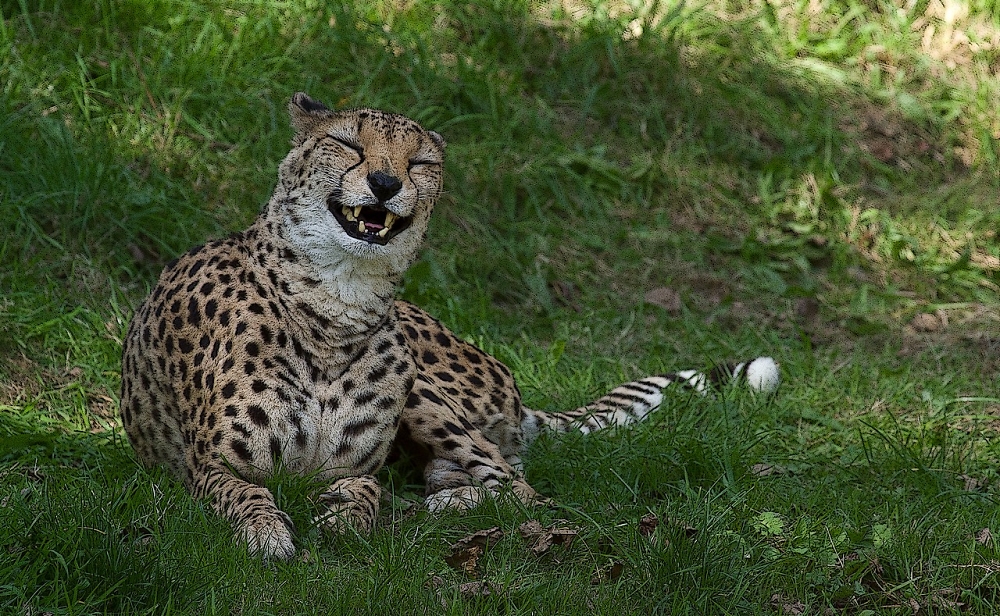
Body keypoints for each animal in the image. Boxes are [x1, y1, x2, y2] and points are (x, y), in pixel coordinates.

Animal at [120, 92, 780, 560]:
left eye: (419, 162)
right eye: (347, 144)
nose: (385, 183)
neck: (337, 302)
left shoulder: (353, 468)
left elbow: (365, 491)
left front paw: (347, 519)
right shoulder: (205, 467)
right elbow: (245, 491)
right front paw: (266, 531)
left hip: (428, 394)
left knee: (521, 491)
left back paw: (443, 505)